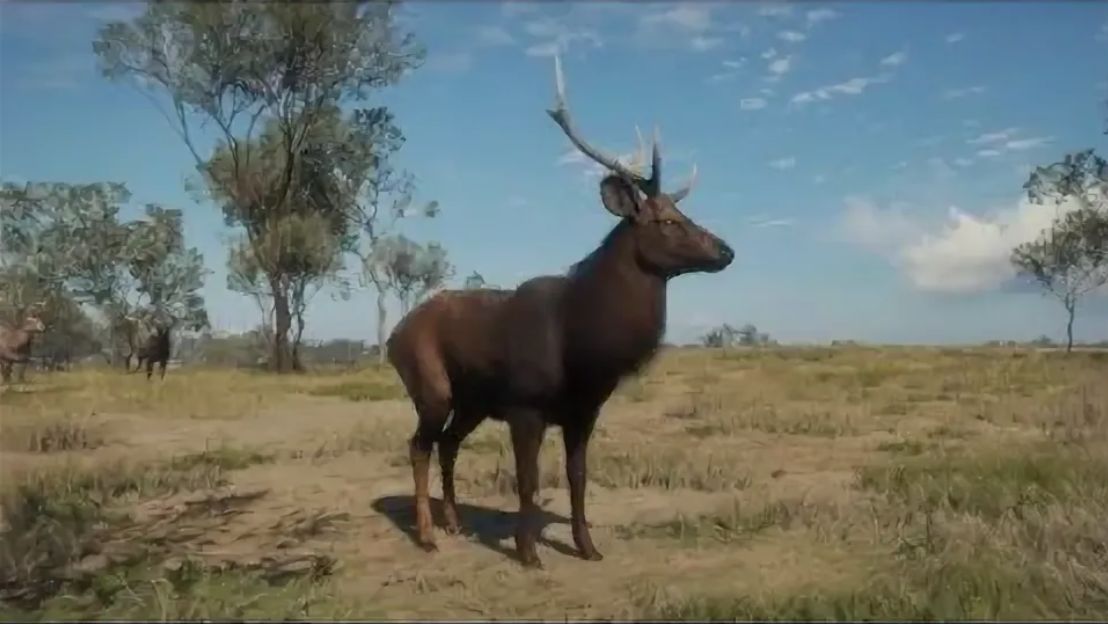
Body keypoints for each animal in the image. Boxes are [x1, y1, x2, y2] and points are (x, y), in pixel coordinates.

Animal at [384, 56, 735, 569]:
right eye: (668, 221)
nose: (726, 250)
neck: (582, 350)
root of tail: (391, 337)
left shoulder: (583, 411)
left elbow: (578, 478)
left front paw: (588, 547)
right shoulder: (525, 406)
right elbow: (528, 482)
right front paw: (529, 552)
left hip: (473, 400)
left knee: (448, 443)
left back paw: (453, 522)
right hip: (431, 386)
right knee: (418, 445)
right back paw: (428, 535)